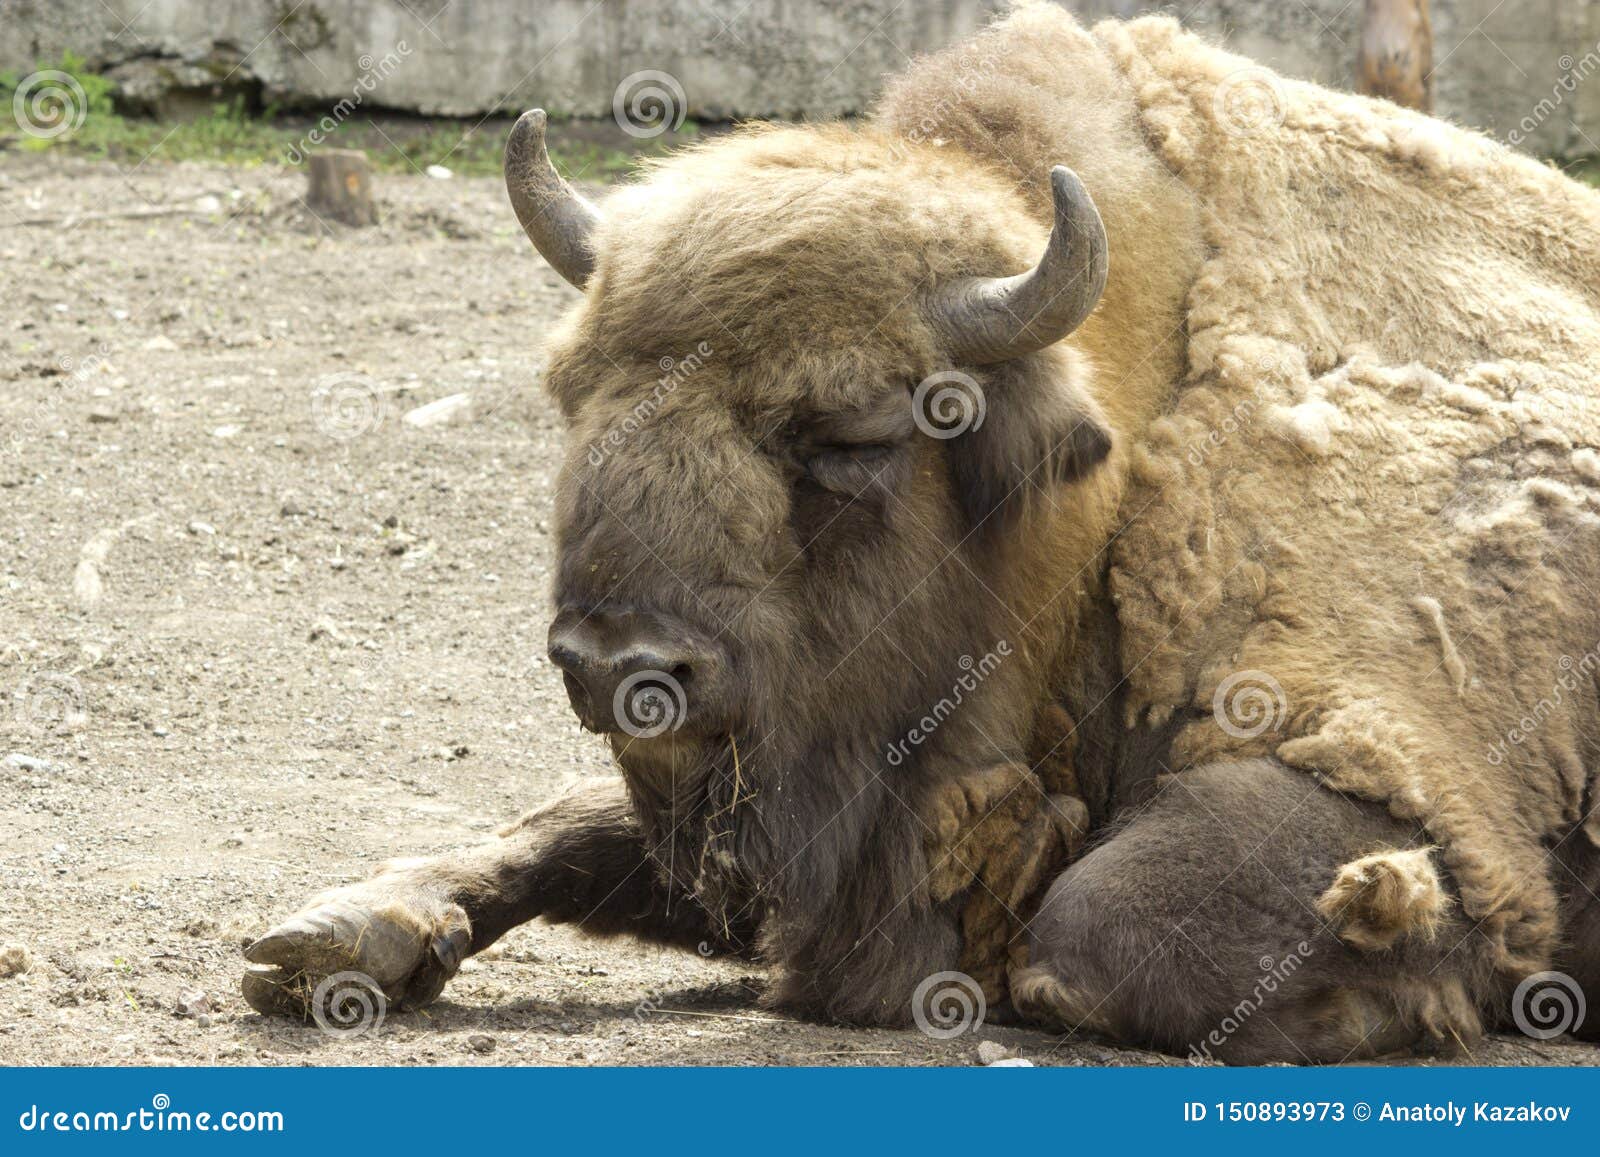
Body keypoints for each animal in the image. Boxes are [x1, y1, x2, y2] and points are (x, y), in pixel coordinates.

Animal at [244, 5, 1600, 1062]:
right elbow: (566, 822)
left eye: (851, 436)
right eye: (575, 397)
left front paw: (1406, 995)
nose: (616, 663)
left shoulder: (1395, 759)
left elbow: (1101, 927)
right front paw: (331, 938)